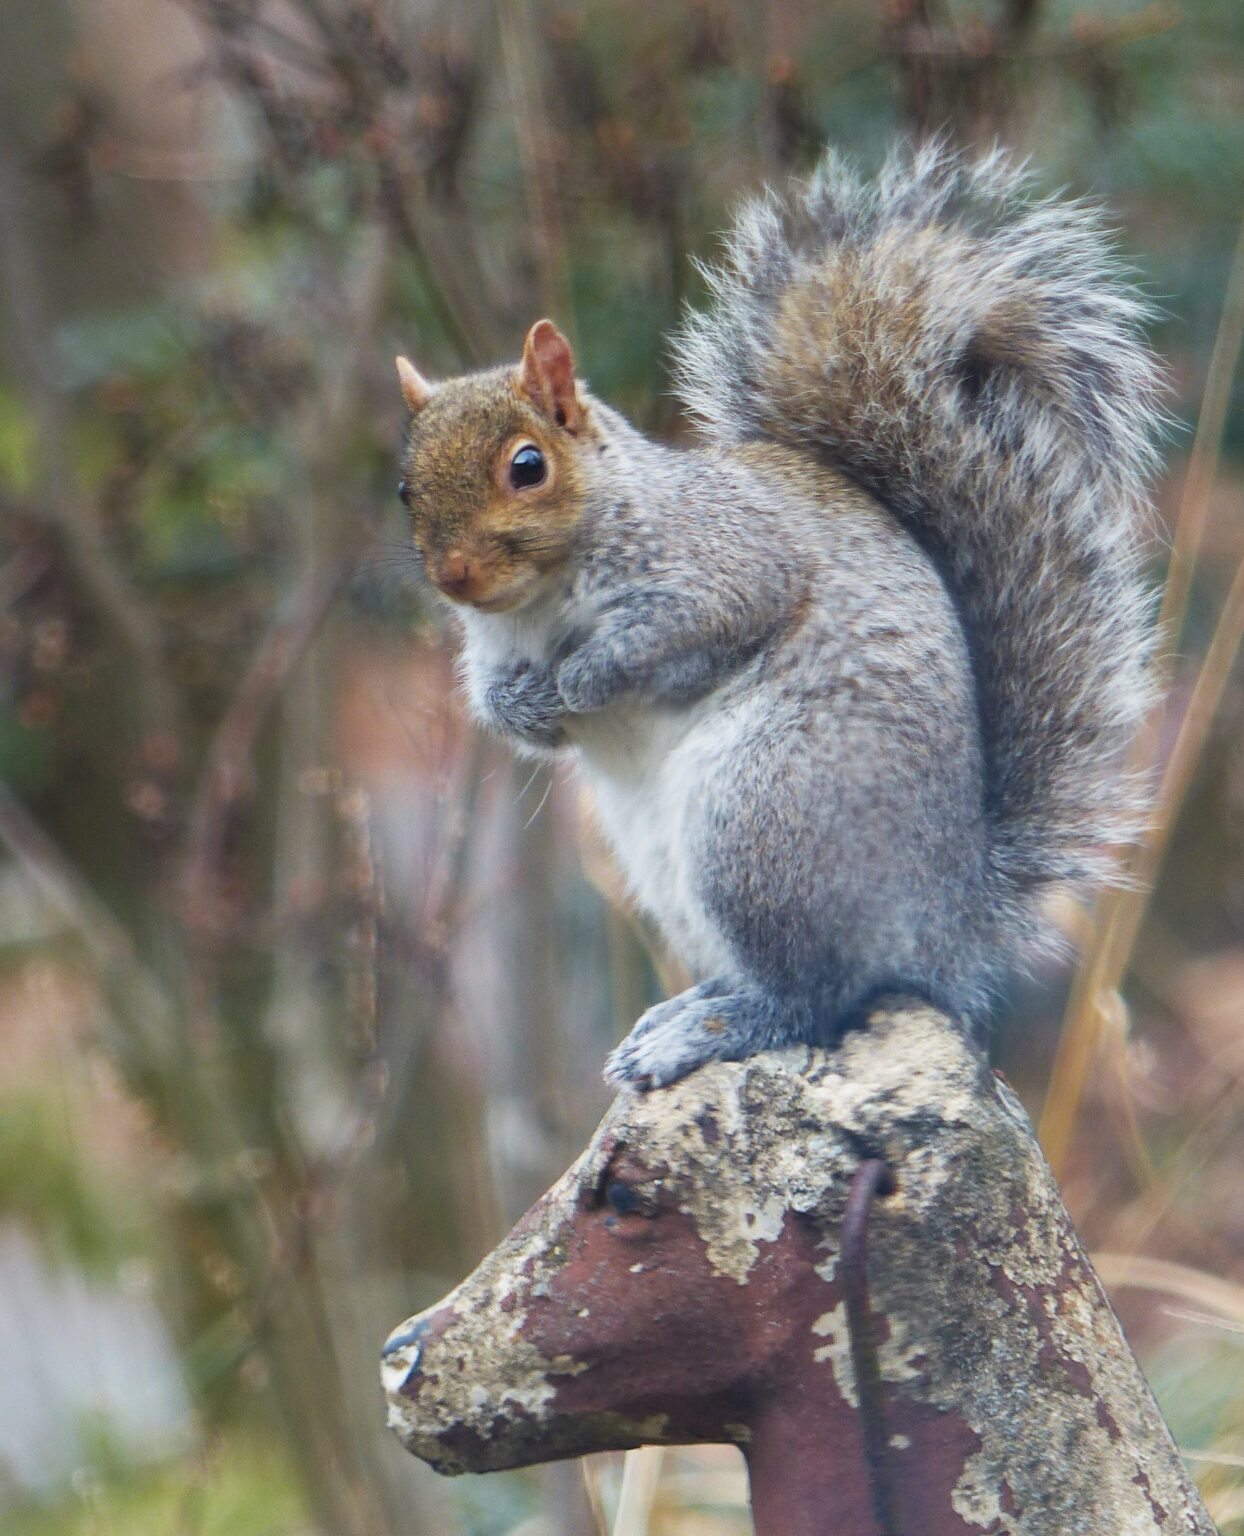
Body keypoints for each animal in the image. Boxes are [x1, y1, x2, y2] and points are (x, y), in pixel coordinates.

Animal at [394, 140, 1161, 1090]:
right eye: (404, 488)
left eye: (527, 466)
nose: (454, 575)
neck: (539, 602)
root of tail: (950, 924)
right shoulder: (493, 644)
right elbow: (503, 709)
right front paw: (528, 706)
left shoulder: (728, 564)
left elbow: (690, 631)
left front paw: (588, 676)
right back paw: (688, 1008)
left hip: (763, 821)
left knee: (815, 996)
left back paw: (709, 1030)